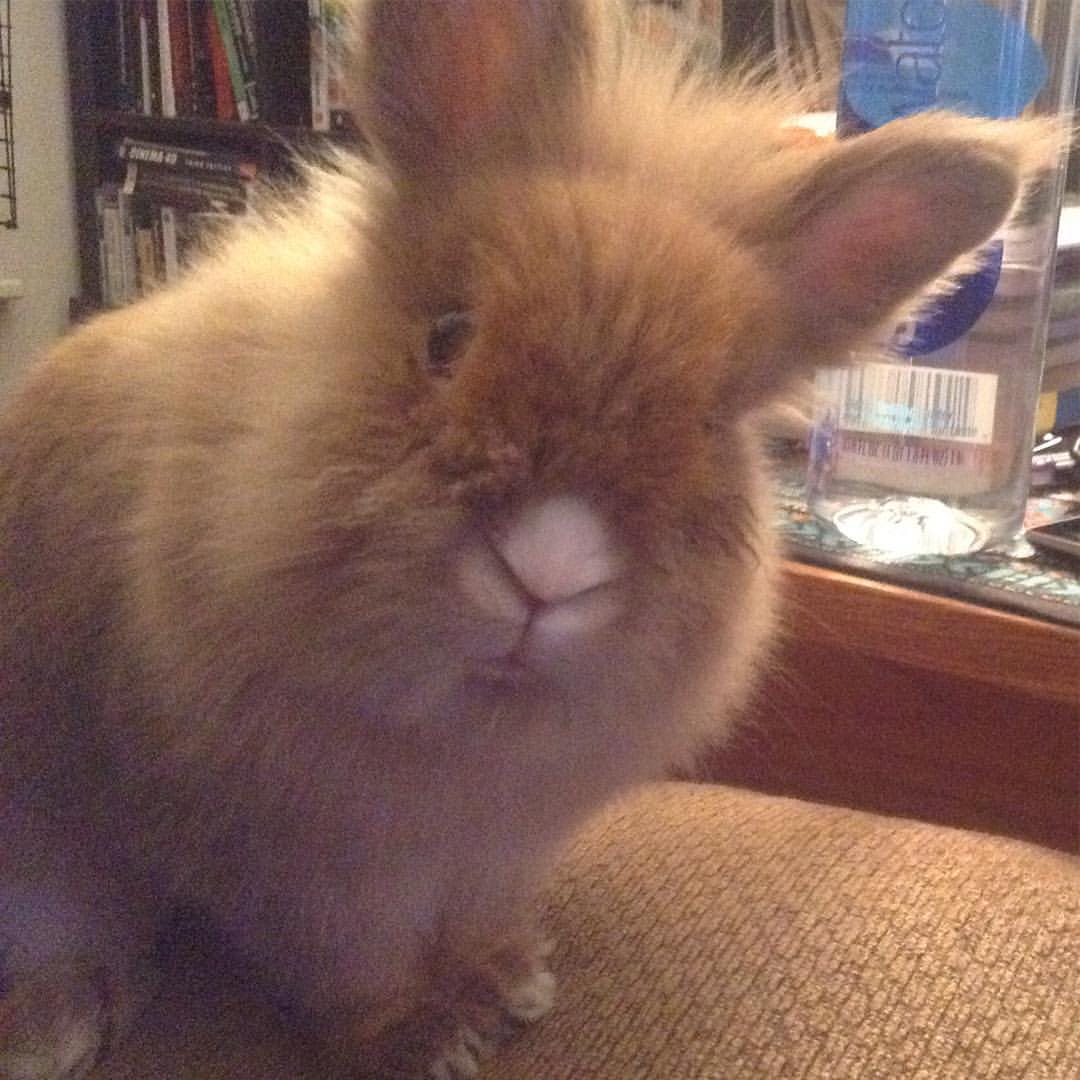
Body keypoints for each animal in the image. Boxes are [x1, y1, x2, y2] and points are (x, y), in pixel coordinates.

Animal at [0, 1, 1056, 1077]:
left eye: (709, 425)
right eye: (448, 336)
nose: (548, 576)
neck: (462, 734)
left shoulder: (496, 851)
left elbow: (473, 922)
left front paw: (508, 981)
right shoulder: (299, 866)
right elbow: (352, 972)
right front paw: (428, 1040)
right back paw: (55, 1022)